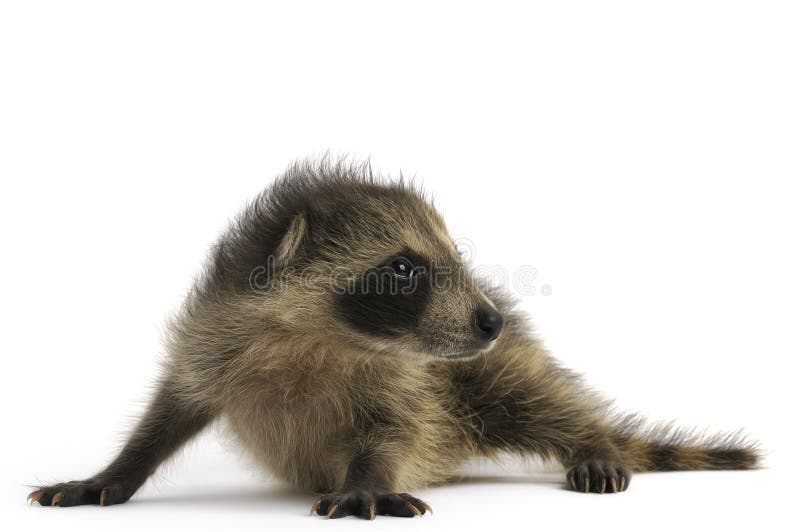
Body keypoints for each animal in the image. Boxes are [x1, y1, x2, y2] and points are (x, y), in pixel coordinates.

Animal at [29, 160, 759, 518]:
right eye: (404, 269)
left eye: (455, 259)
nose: (490, 320)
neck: (317, 338)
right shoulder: (216, 339)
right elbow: (168, 413)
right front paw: (112, 474)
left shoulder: (414, 377)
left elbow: (396, 431)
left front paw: (368, 482)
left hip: (492, 372)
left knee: (539, 399)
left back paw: (594, 441)